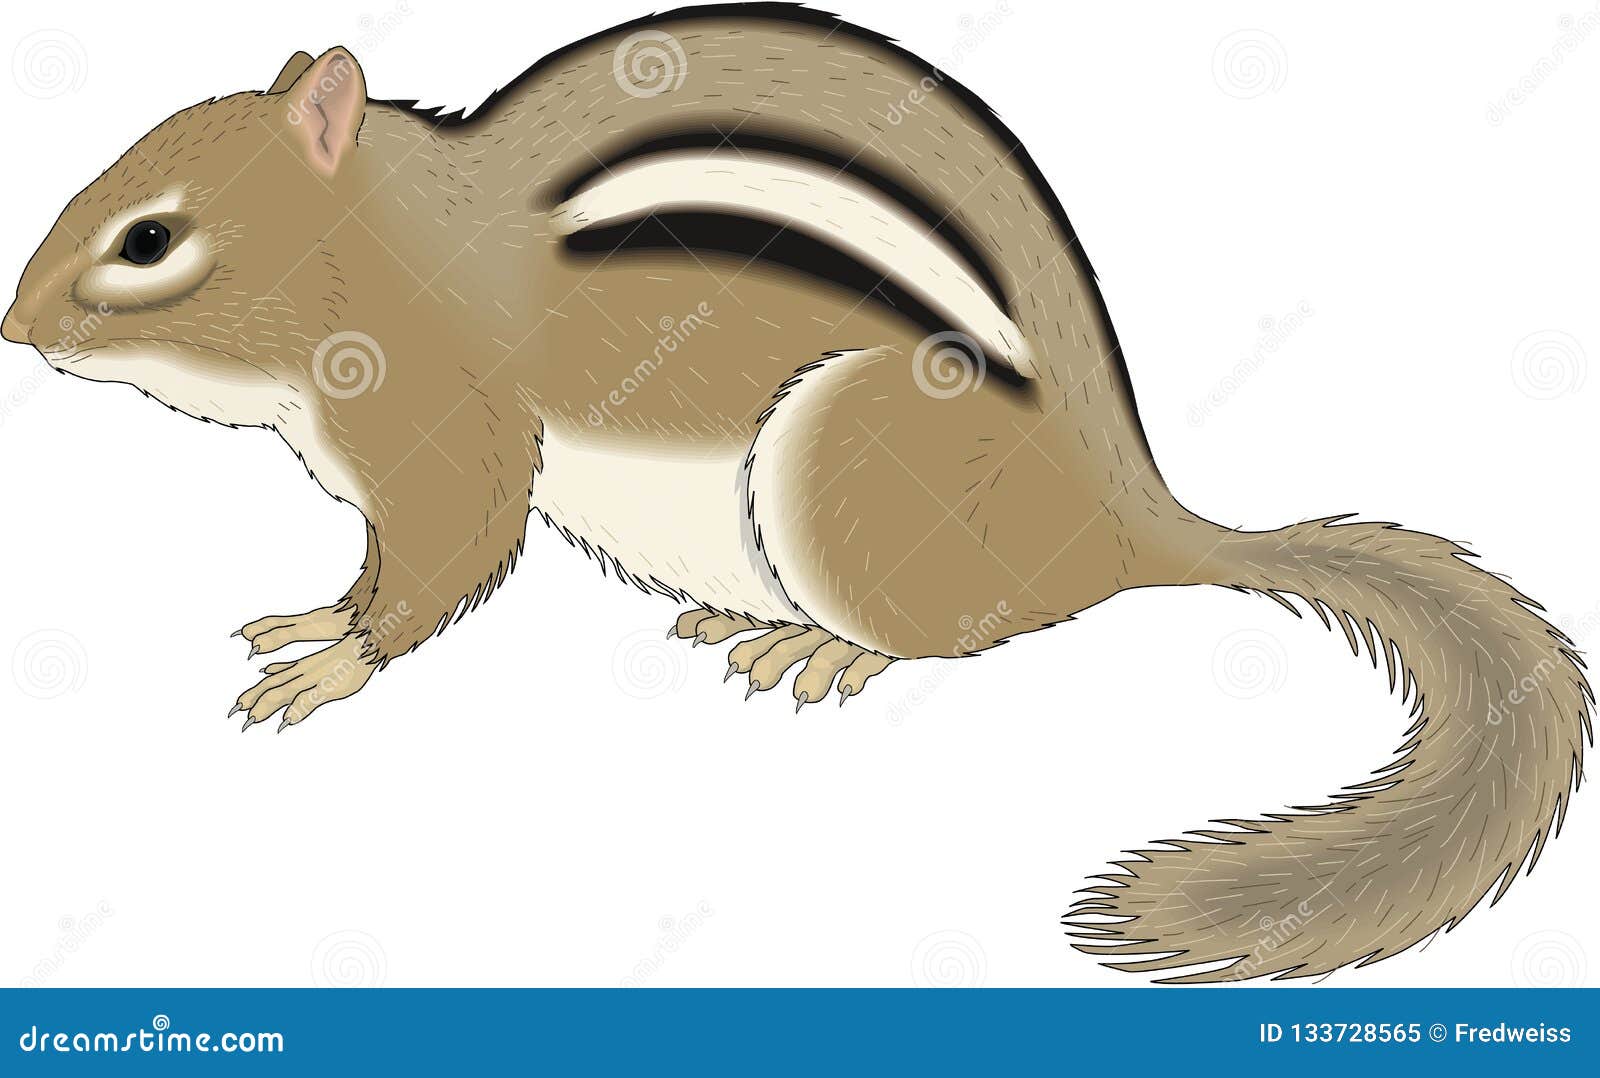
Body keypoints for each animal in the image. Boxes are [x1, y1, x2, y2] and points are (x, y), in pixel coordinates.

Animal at [2, 4, 1590, 983]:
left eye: (150, 239)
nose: (11, 327)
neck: (385, 240)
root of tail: (1123, 511)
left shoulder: (441, 427)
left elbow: (449, 557)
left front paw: (334, 662)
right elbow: (380, 566)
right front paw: (317, 618)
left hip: (847, 465)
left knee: (961, 636)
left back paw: (823, 649)